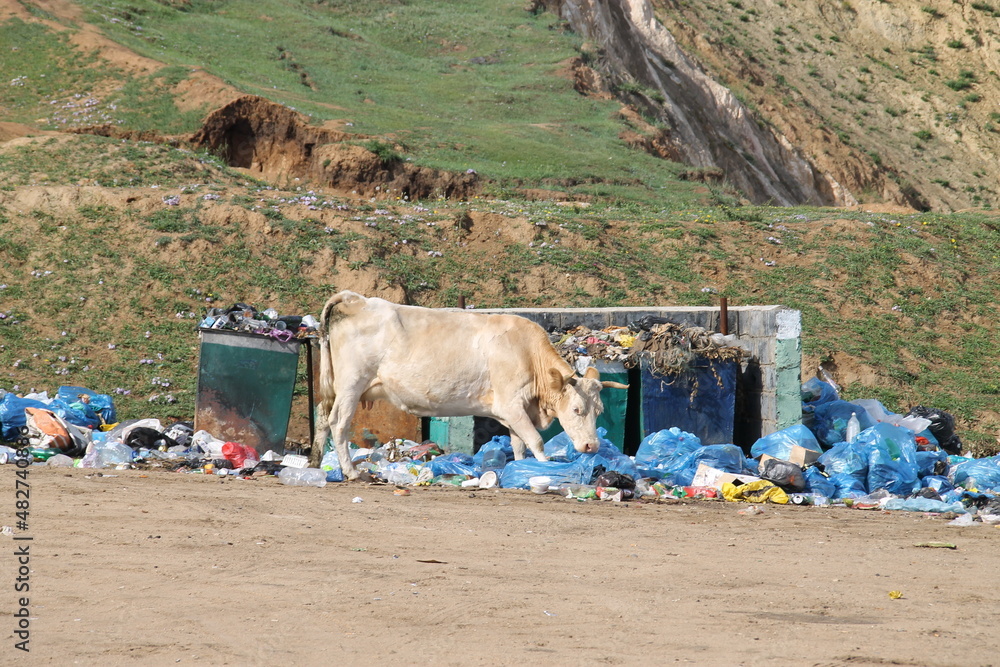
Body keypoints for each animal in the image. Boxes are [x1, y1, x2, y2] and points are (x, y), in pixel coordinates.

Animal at [310, 290, 627, 480]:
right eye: (576, 409)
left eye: (599, 411)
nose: (591, 445)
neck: (527, 353)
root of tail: (357, 299)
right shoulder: (511, 404)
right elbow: (535, 441)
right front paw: (542, 469)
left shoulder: (516, 411)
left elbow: (519, 444)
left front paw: (519, 469)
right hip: (352, 384)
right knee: (338, 423)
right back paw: (350, 471)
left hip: (338, 388)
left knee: (322, 417)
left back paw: (315, 463)